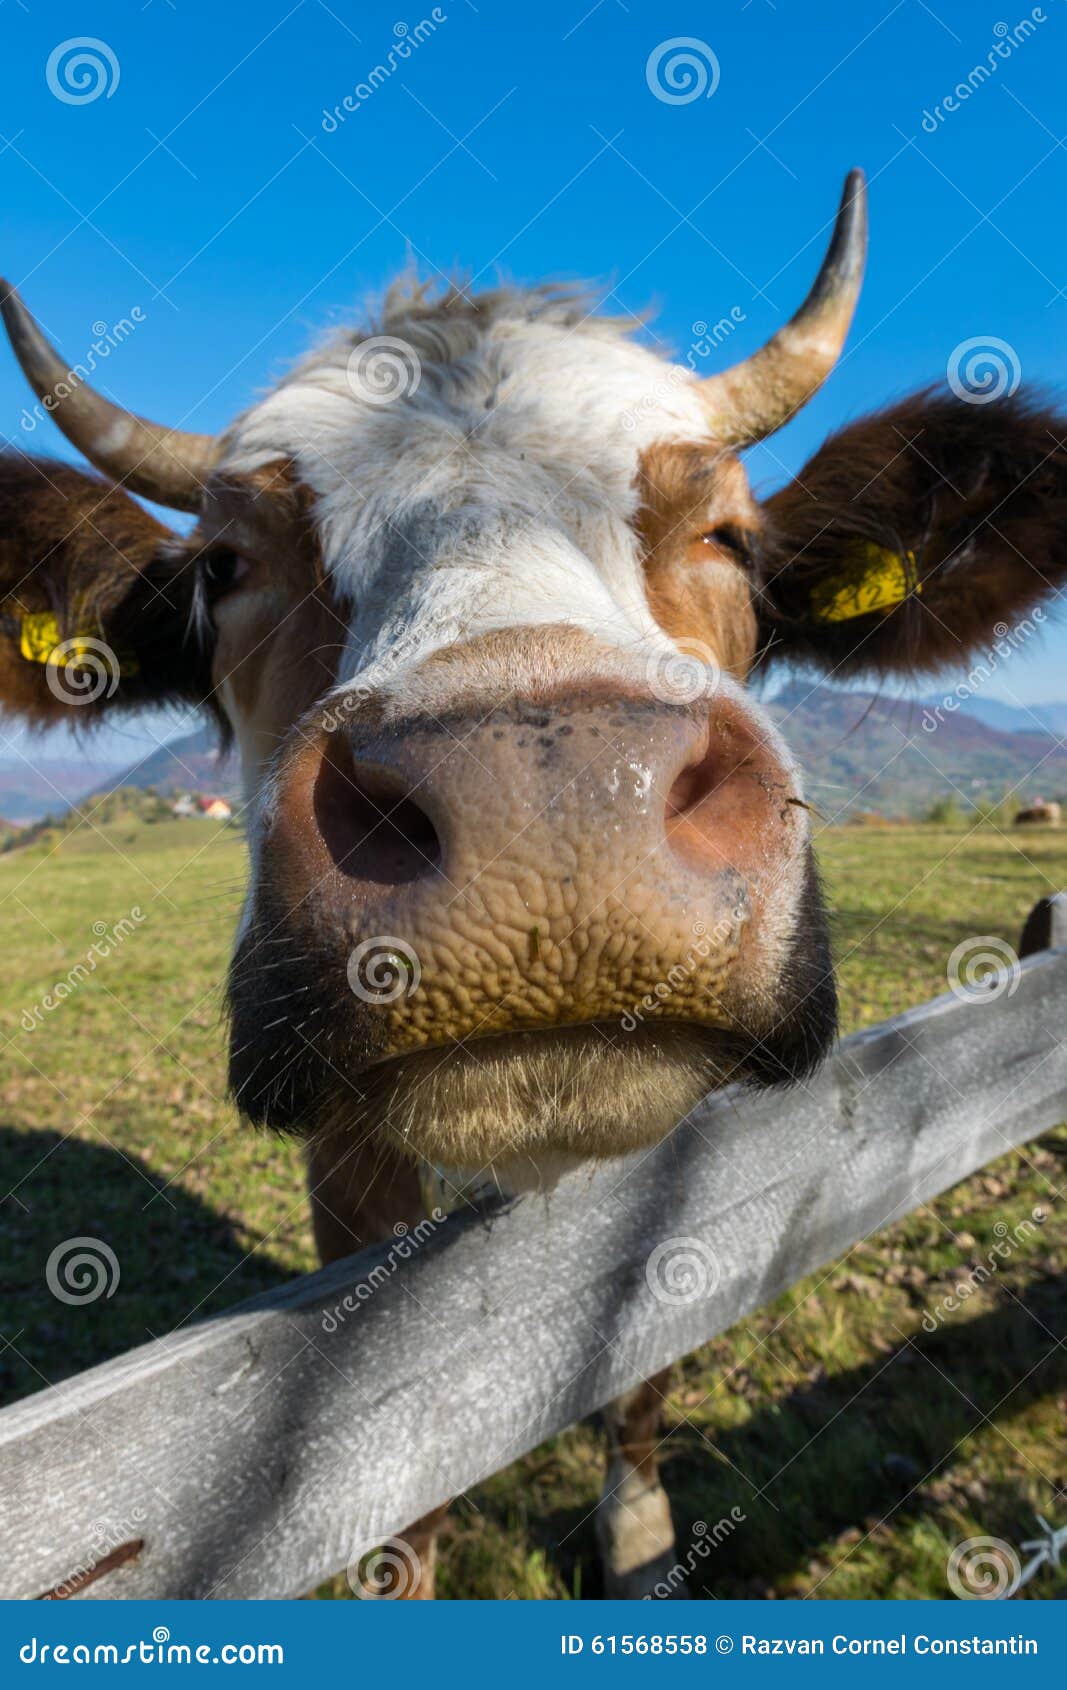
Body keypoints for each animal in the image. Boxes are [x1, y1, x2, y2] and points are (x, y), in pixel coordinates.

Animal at [3, 170, 1066, 1597]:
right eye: (225, 565)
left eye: (727, 534)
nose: (548, 798)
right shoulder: (346, 1187)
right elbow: (383, 1455)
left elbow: (649, 1349)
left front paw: (637, 1528)